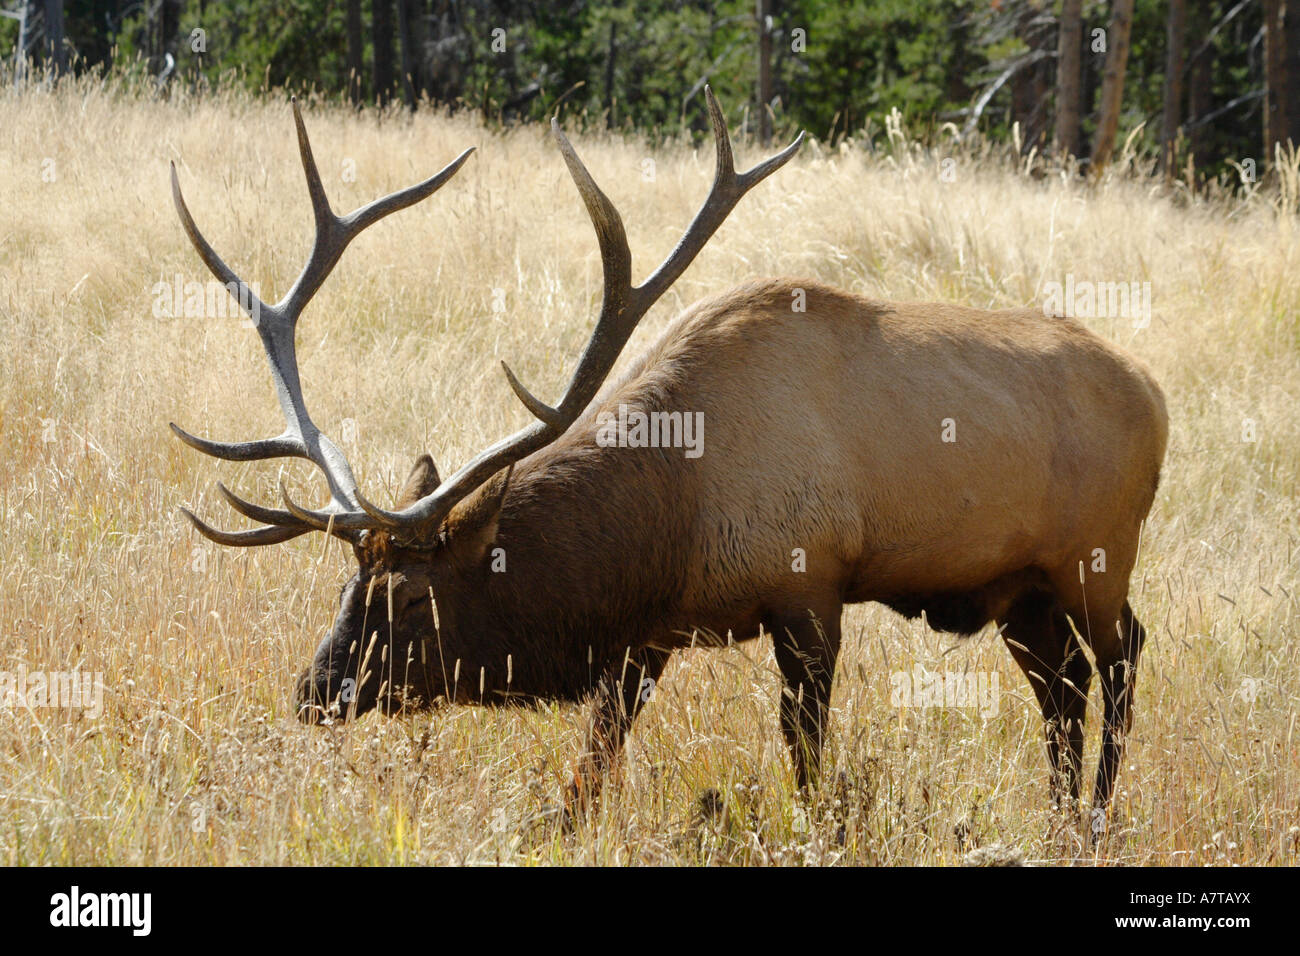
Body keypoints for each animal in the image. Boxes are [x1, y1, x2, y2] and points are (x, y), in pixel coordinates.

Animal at [170, 91, 1167, 828]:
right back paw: (1058, 819)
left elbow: (809, 765)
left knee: (1122, 660)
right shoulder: (645, 635)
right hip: (1021, 591)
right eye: (348, 585)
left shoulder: (809, 588)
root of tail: (1158, 398)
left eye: (411, 597)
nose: (316, 689)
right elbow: (589, 776)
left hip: (1096, 557)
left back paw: (1098, 821)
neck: (670, 518)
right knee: (1063, 691)